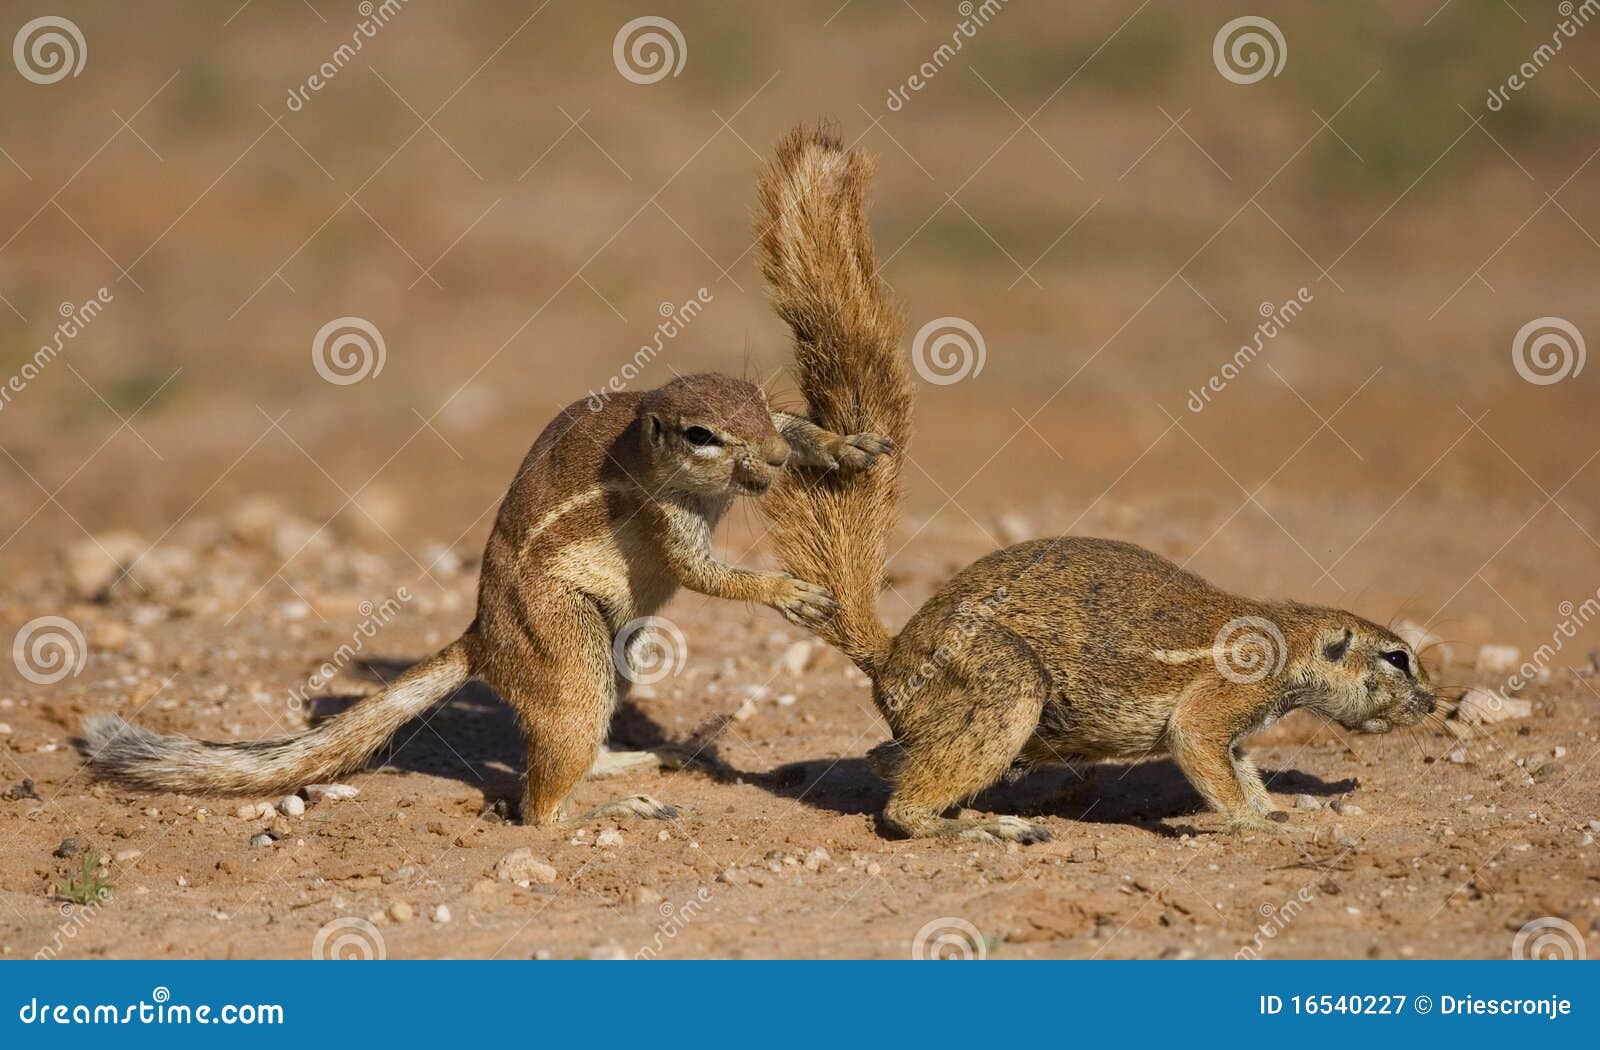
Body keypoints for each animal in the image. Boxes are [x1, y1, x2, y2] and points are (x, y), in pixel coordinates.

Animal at [82, 373, 892, 826]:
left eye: (756, 399)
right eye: (702, 435)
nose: (776, 464)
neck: (652, 449)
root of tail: (482, 637)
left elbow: (801, 431)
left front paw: (844, 444)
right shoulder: (664, 512)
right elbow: (703, 574)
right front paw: (790, 592)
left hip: (615, 652)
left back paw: (638, 762)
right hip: (565, 648)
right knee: (537, 810)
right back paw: (605, 809)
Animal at [756, 123, 1439, 843]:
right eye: (1397, 658)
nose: (1434, 703)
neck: (1294, 640)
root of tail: (888, 656)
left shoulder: (1240, 727)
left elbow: (1242, 767)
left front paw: (1274, 808)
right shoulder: (1226, 695)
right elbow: (1201, 749)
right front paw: (1265, 827)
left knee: (885, 758)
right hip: (1005, 685)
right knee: (902, 803)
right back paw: (978, 828)